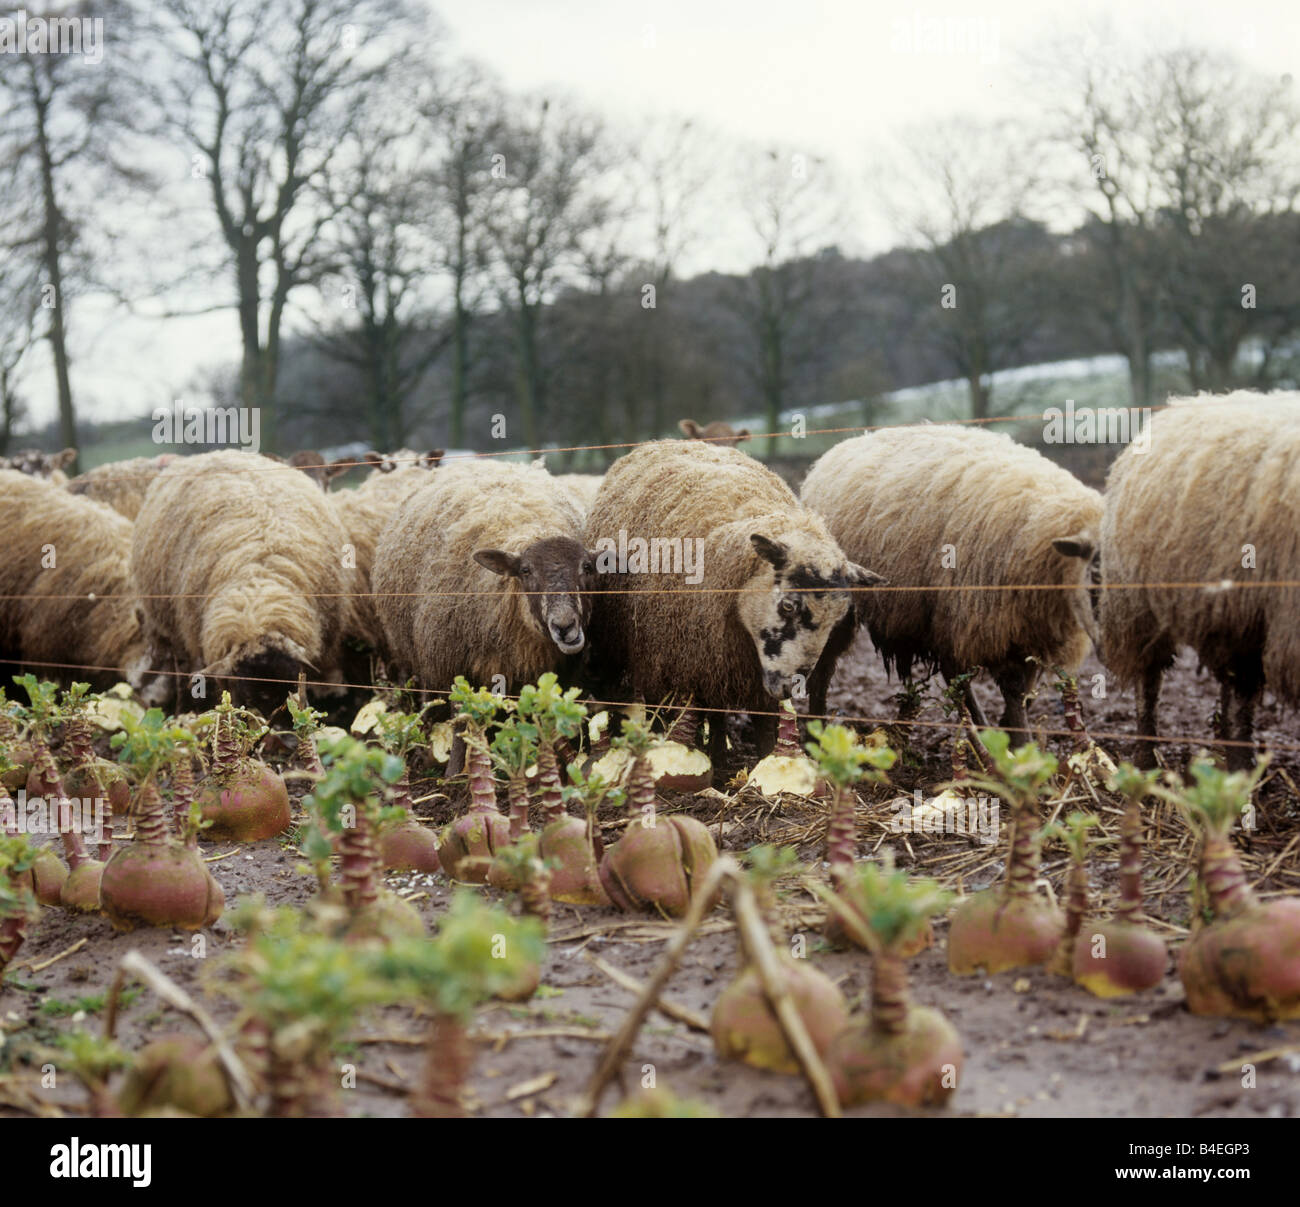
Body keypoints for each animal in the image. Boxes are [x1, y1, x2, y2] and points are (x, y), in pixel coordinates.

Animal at [584, 440, 879, 762]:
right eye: (787, 606)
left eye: (835, 620)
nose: (791, 686)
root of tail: (663, 442)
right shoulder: (685, 655)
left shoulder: (737, 661)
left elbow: (763, 721)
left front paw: (764, 758)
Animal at [800, 425, 1103, 733]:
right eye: (1096, 572)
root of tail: (842, 446)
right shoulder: (993, 624)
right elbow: (1015, 691)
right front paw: (1017, 740)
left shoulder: (1031, 633)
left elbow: (1026, 692)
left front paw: (1007, 728)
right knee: (824, 668)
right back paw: (816, 729)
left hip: (938, 613)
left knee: (952, 673)